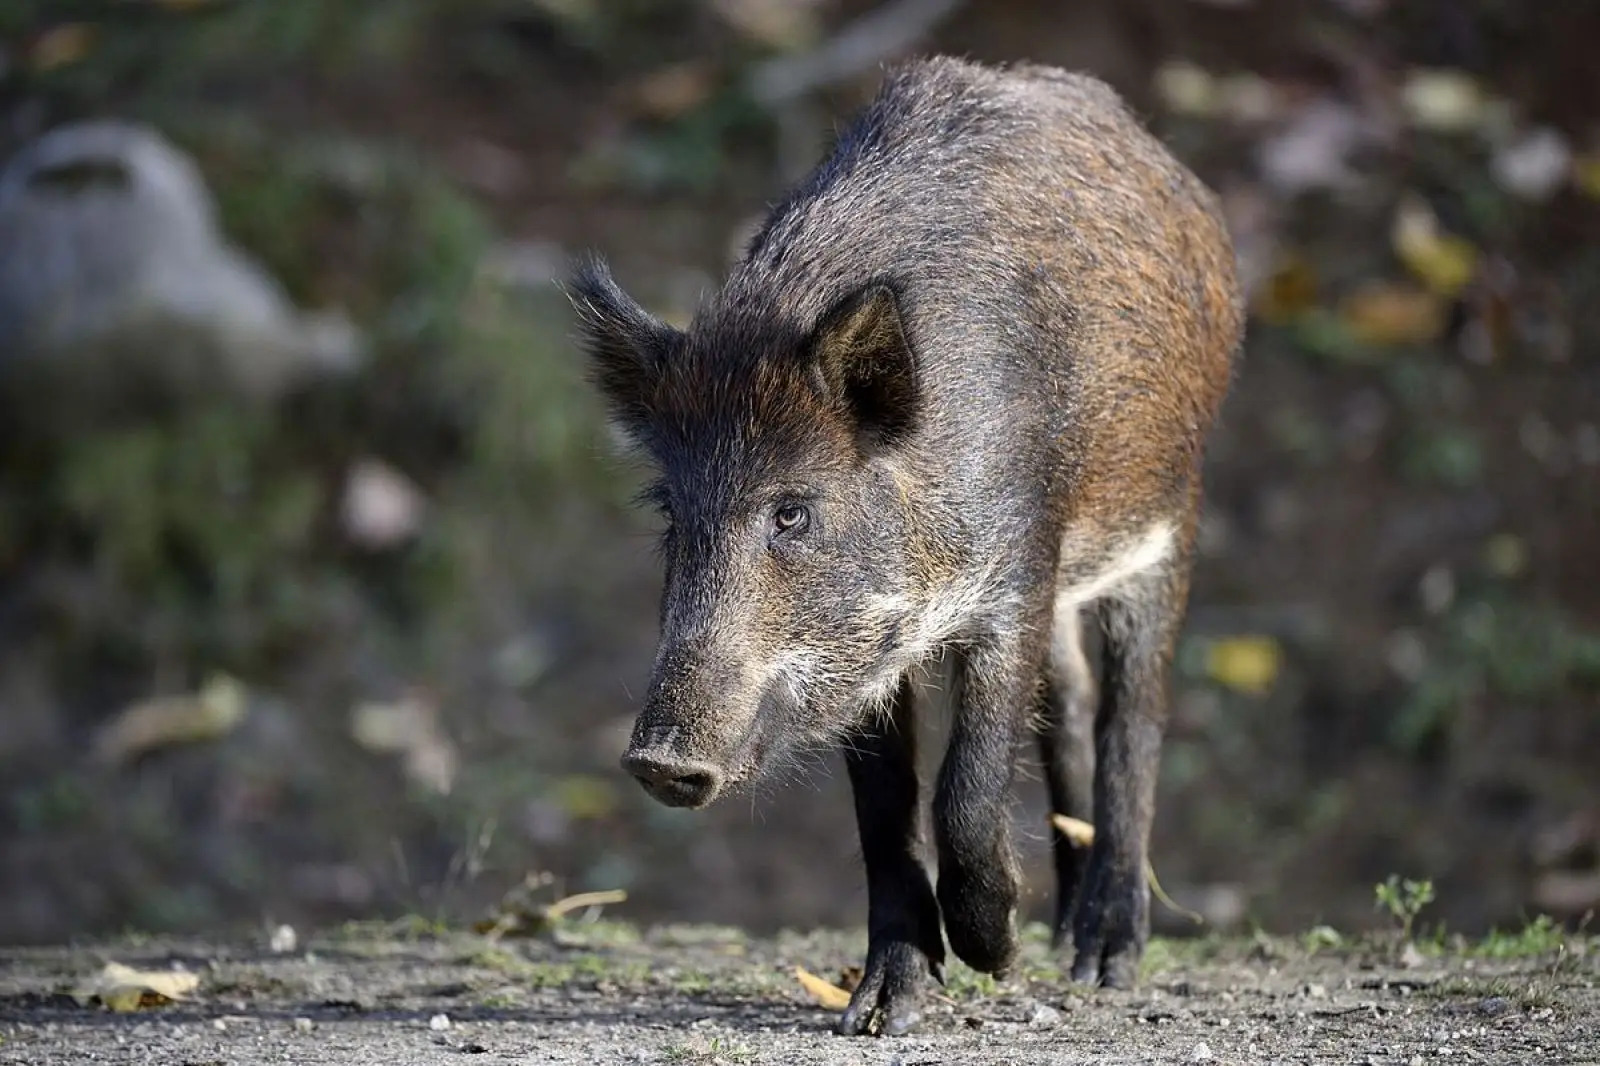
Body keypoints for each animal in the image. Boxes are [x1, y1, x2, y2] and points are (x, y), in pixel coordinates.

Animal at [568, 55, 1243, 1036]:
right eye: (670, 514)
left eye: (793, 513)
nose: (658, 761)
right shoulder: (865, 657)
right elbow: (886, 811)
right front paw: (881, 1010)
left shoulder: (1019, 569)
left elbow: (966, 784)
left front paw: (995, 954)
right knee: (1072, 707)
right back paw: (1066, 938)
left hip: (1170, 515)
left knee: (1135, 714)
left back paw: (1104, 960)